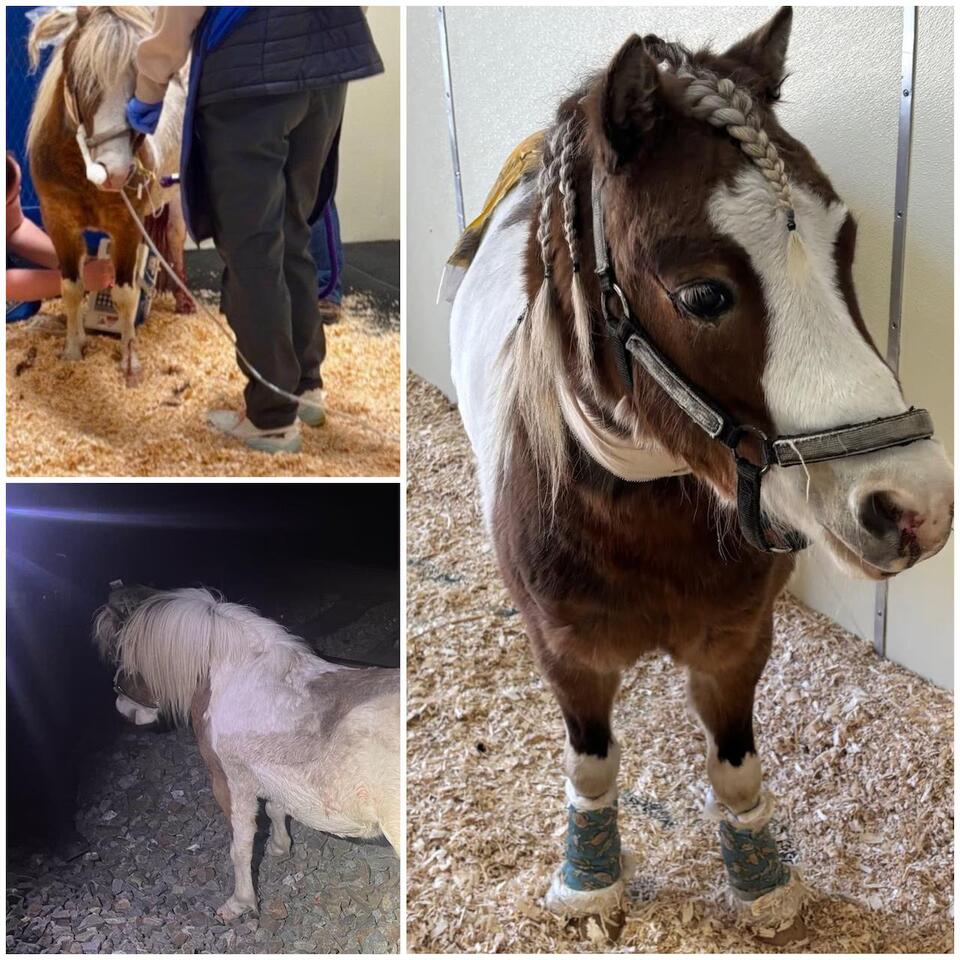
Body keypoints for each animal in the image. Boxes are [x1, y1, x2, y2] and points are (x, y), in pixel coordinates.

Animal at [26, 6, 194, 387]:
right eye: (83, 75)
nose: (116, 171)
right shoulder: (58, 223)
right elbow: (72, 287)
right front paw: (73, 349)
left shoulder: (127, 227)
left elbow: (124, 294)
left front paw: (129, 363)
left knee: (174, 239)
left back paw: (185, 301)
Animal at [93, 584, 401, 921]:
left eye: (121, 652)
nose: (122, 708)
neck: (233, 676)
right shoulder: (271, 776)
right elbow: (276, 809)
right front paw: (280, 847)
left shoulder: (230, 784)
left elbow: (240, 846)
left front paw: (240, 903)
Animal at [448, 6, 953, 944]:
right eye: (704, 297)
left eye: (848, 246)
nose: (914, 506)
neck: (640, 510)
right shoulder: (567, 654)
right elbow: (593, 765)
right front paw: (590, 882)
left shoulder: (735, 643)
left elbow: (736, 770)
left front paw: (760, 884)